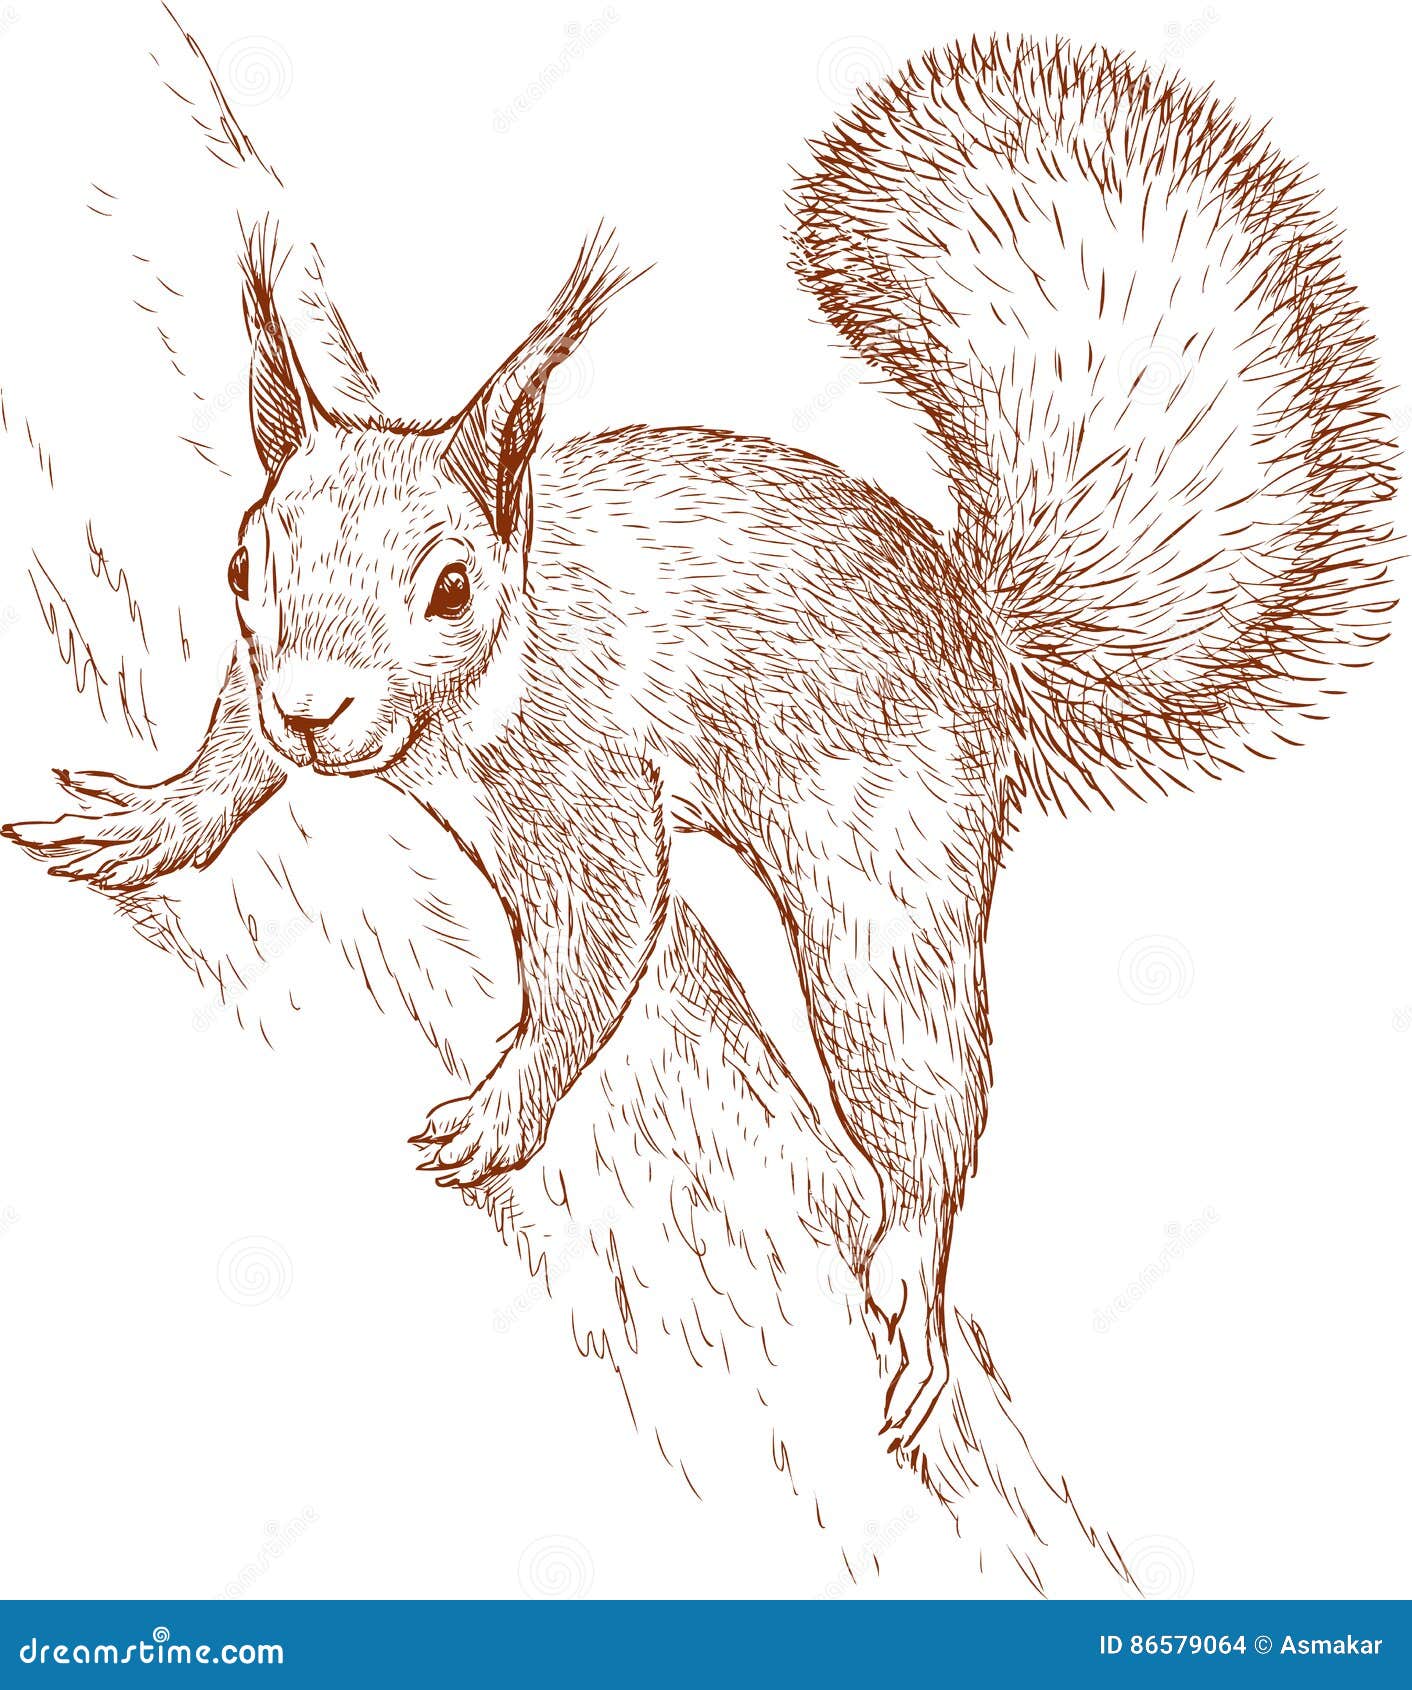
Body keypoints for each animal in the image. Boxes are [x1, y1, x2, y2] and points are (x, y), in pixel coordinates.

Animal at [6, 39, 1396, 1452]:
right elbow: (230, 757)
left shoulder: (586, 780)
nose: (315, 708)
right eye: (241, 565)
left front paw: (507, 1105)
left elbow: (600, 940)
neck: (468, 696)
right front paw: (151, 820)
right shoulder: (261, 681)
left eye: (451, 587)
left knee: (926, 1088)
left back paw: (914, 1270)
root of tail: (980, 632)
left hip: (885, 876)